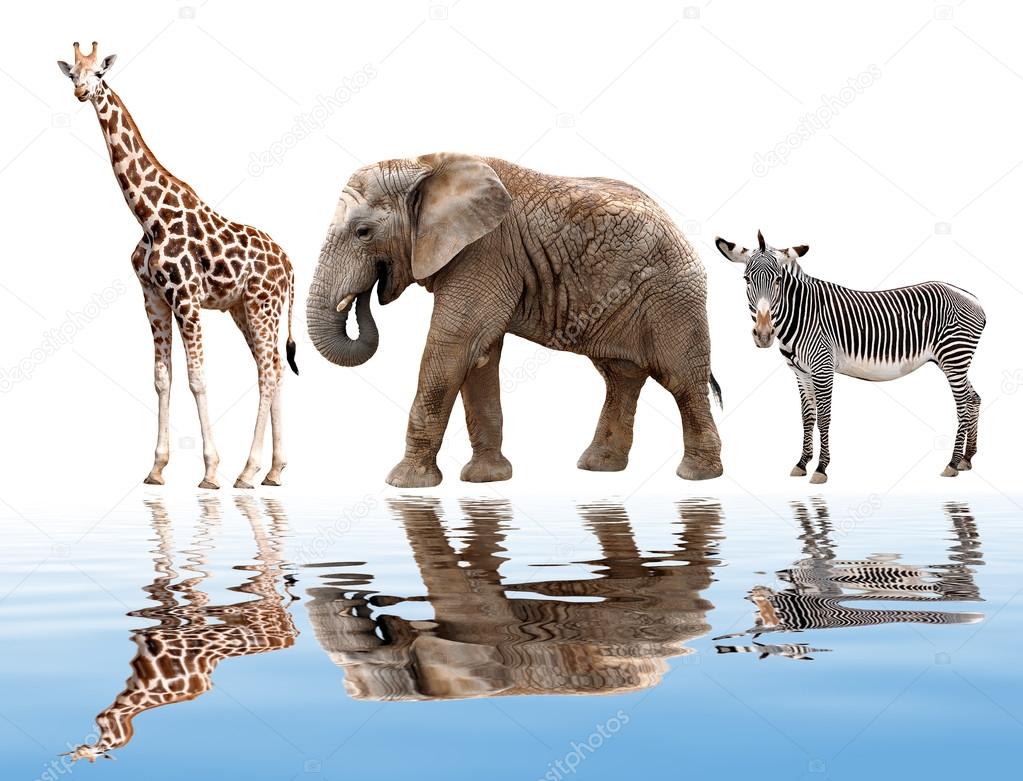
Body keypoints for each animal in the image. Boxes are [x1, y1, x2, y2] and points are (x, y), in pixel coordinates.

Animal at [57, 42, 298, 489]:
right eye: (72, 74)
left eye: (99, 73)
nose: (81, 93)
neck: (148, 216)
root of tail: (290, 264)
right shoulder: (153, 298)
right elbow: (161, 378)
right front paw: (156, 468)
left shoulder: (186, 298)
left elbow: (198, 379)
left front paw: (211, 471)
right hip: (244, 309)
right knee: (273, 367)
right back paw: (274, 471)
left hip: (262, 305)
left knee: (268, 372)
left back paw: (247, 471)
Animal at [63, 495, 298, 762]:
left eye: (97, 752)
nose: (74, 752)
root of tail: (292, 634)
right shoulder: (177, 618)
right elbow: (167, 582)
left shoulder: (183, 622)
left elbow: (181, 575)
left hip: (259, 600)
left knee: (267, 568)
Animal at [715, 231, 986, 482]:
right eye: (747, 279)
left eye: (779, 280)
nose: (763, 335)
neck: (801, 313)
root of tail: (973, 298)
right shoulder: (801, 373)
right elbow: (807, 418)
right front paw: (802, 463)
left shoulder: (822, 368)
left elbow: (824, 418)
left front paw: (821, 468)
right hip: (953, 361)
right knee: (974, 398)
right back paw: (967, 459)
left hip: (954, 356)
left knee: (963, 405)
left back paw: (952, 463)